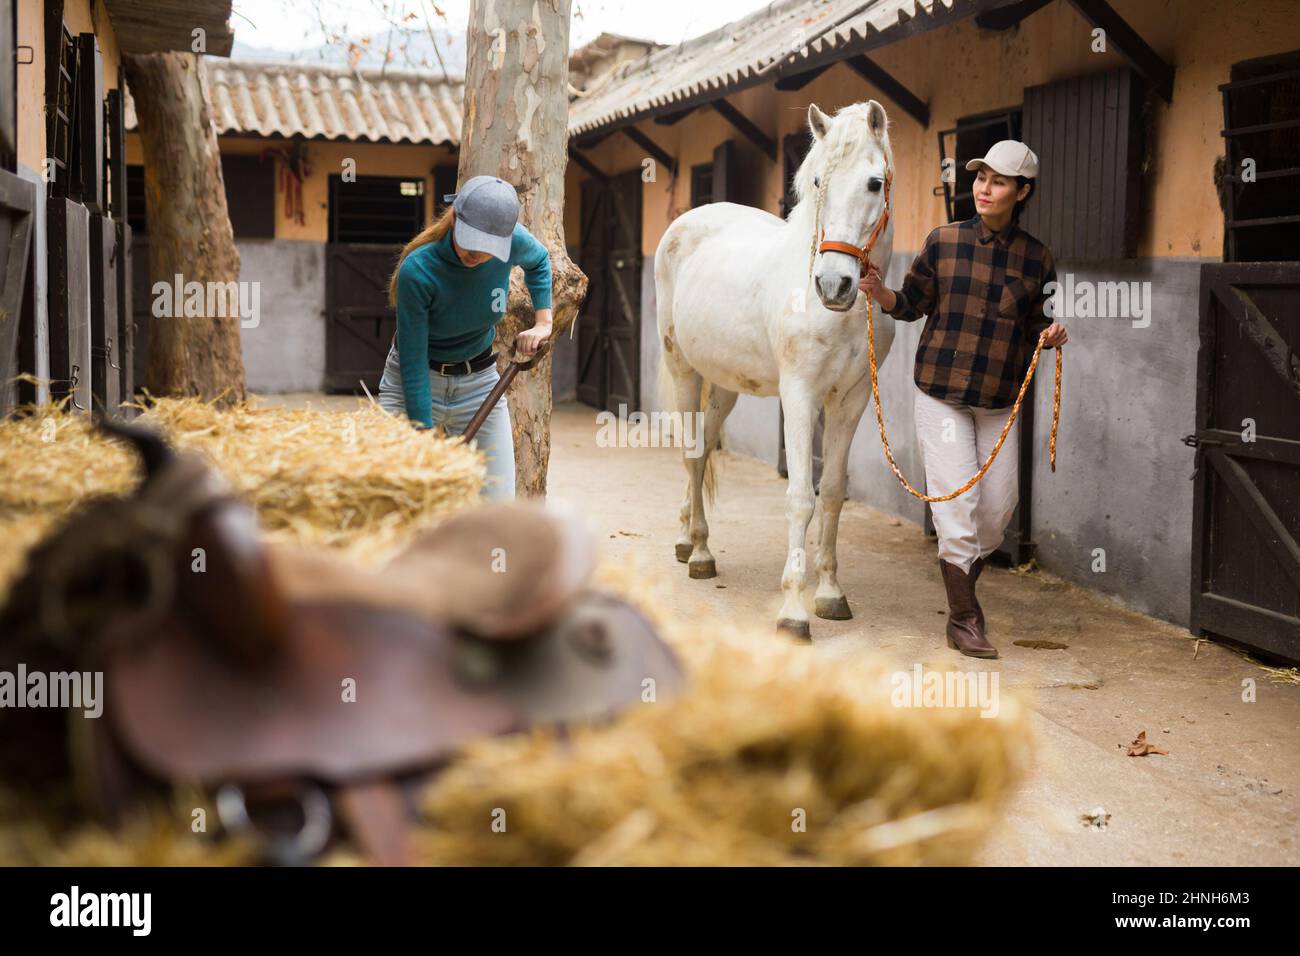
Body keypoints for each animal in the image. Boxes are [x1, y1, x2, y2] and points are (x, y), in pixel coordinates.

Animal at [654, 100, 897, 639]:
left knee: (704, 451)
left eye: (875, 183)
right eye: (817, 181)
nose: (834, 284)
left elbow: (833, 493)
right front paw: (793, 610)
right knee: (692, 454)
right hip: (682, 369)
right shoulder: (800, 395)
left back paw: (684, 538)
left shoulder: (851, 400)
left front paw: (830, 594)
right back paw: (700, 553)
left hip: (725, 386)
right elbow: (801, 497)